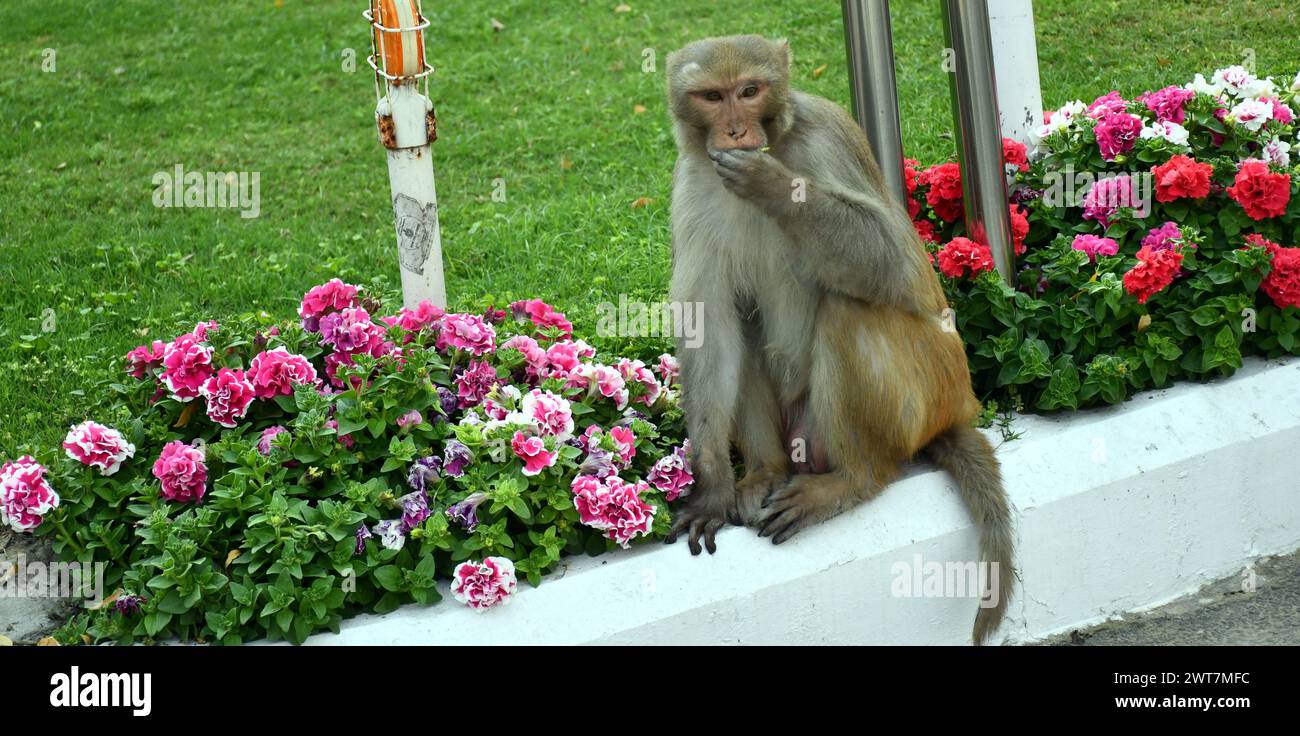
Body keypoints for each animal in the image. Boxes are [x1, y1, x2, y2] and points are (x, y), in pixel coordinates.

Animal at [660, 35, 1014, 644]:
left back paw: (852, 481)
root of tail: (955, 408)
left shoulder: (825, 134)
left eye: (749, 91)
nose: (735, 130)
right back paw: (766, 471)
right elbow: (711, 324)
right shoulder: (692, 184)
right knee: (746, 325)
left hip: (920, 397)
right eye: (712, 96)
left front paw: (773, 185)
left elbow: (892, 259)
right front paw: (712, 484)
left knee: (850, 306)